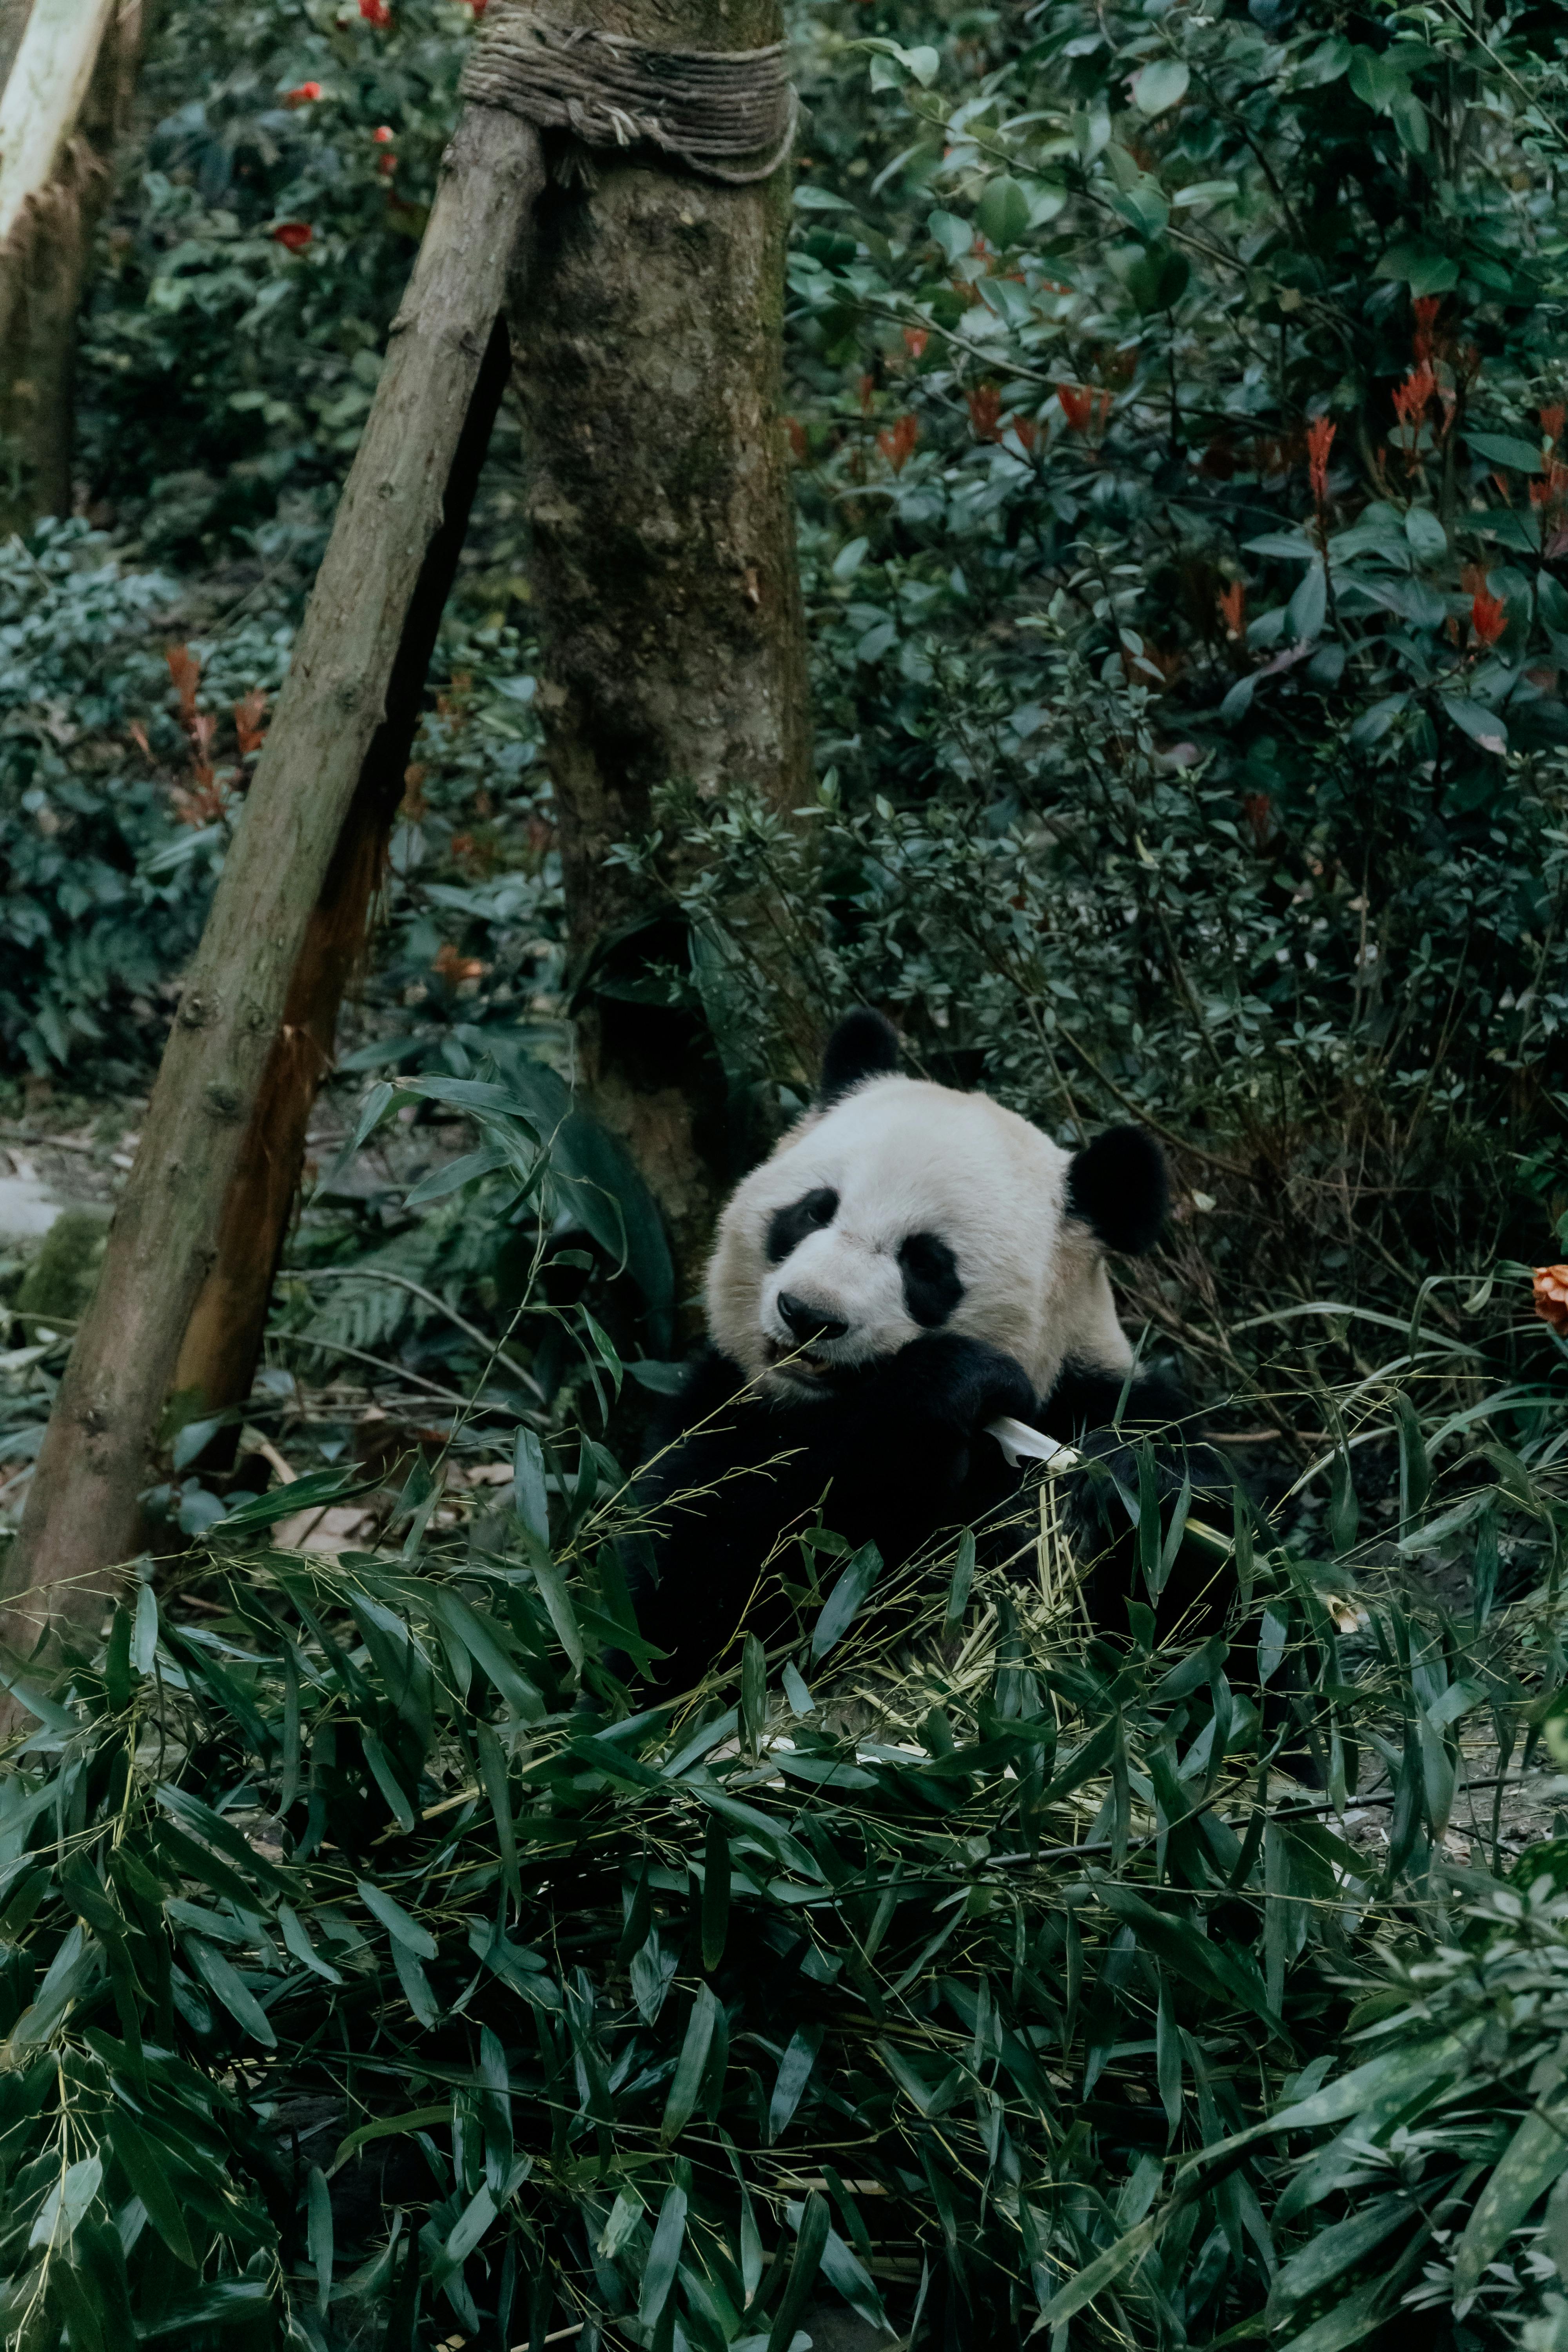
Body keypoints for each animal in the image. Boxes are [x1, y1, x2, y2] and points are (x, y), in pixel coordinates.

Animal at [630, 1009, 1221, 1688]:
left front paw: (1129, 1481)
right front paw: (944, 1390)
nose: (809, 1315)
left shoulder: (1103, 1394)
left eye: (926, 1264)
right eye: (813, 1212)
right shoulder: (720, 1409)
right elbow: (688, 1604)